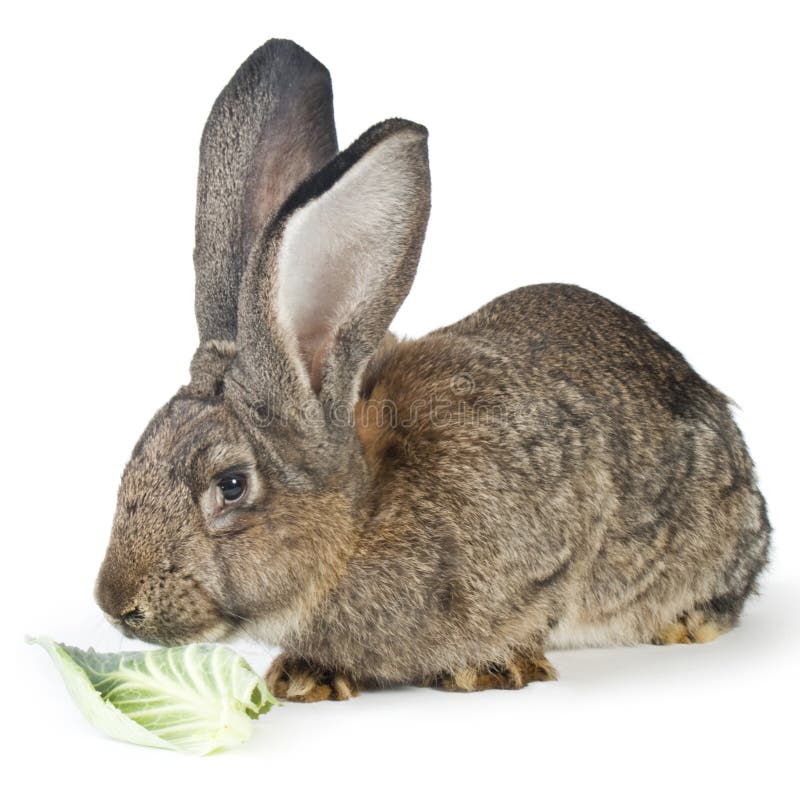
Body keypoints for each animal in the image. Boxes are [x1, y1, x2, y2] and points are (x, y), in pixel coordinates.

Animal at [95, 38, 770, 701]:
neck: (363, 518)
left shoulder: (560, 534)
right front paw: (307, 675)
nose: (114, 603)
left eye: (231, 484)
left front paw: (490, 669)